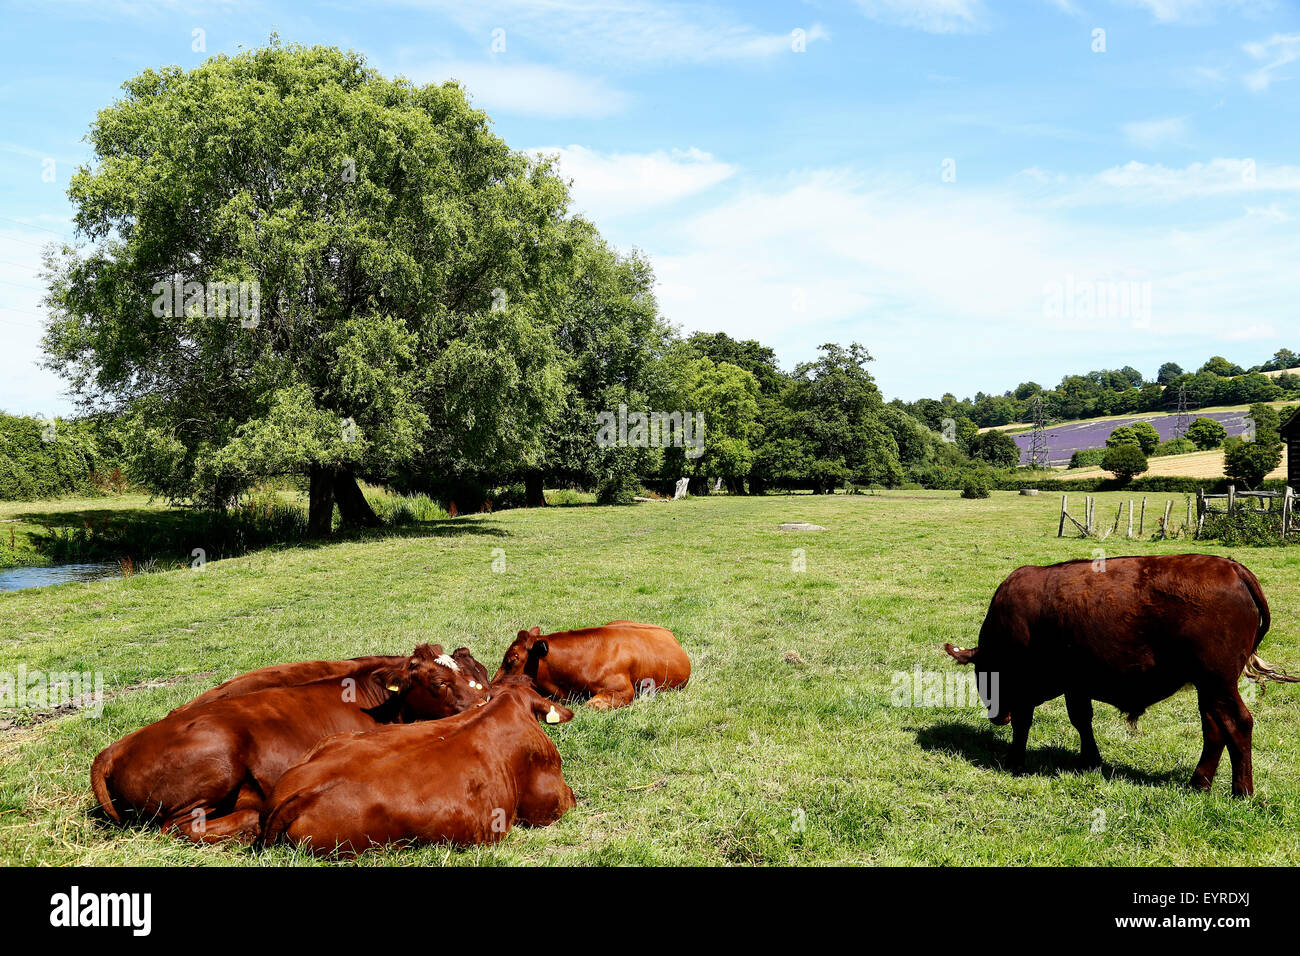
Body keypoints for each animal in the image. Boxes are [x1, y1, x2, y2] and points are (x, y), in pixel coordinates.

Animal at [90, 644, 489, 842]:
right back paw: (250, 822)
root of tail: (113, 749)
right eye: (438, 682)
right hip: (217, 765)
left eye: (478, 677)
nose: (482, 704)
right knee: (179, 827)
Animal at [944, 554, 1298, 796]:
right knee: (1214, 729)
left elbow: (1024, 723)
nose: (995, 717)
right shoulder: (1076, 683)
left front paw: (1015, 760)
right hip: (1208, 686)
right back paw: (1199, 783)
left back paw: (1242, 792)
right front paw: (1090, 760)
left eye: (983, 675)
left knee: (1237, 725)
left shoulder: (1024, 685)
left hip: (1217, 681)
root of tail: (1233, 568)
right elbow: (1081, 719)